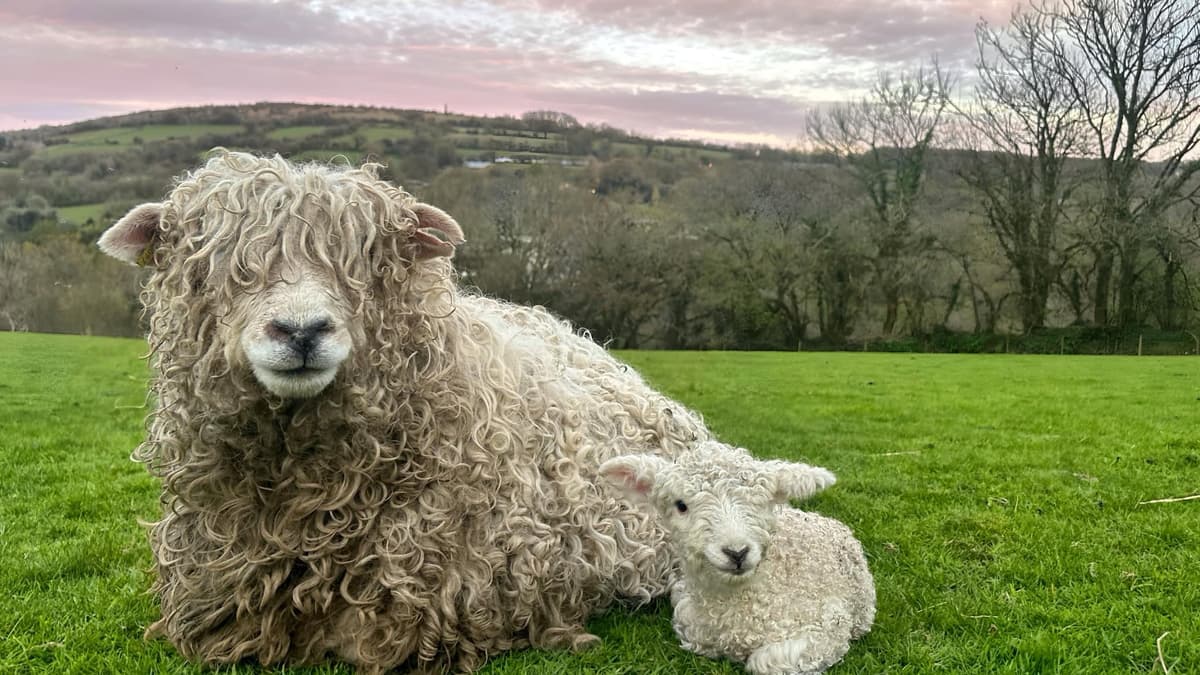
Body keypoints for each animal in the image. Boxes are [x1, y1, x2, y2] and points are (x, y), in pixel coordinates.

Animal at [599, 442, 874, 675]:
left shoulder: (829, 624)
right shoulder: (691, 617)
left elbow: (763, 661)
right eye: (681, 505)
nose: (737, 552)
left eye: (763, 503)